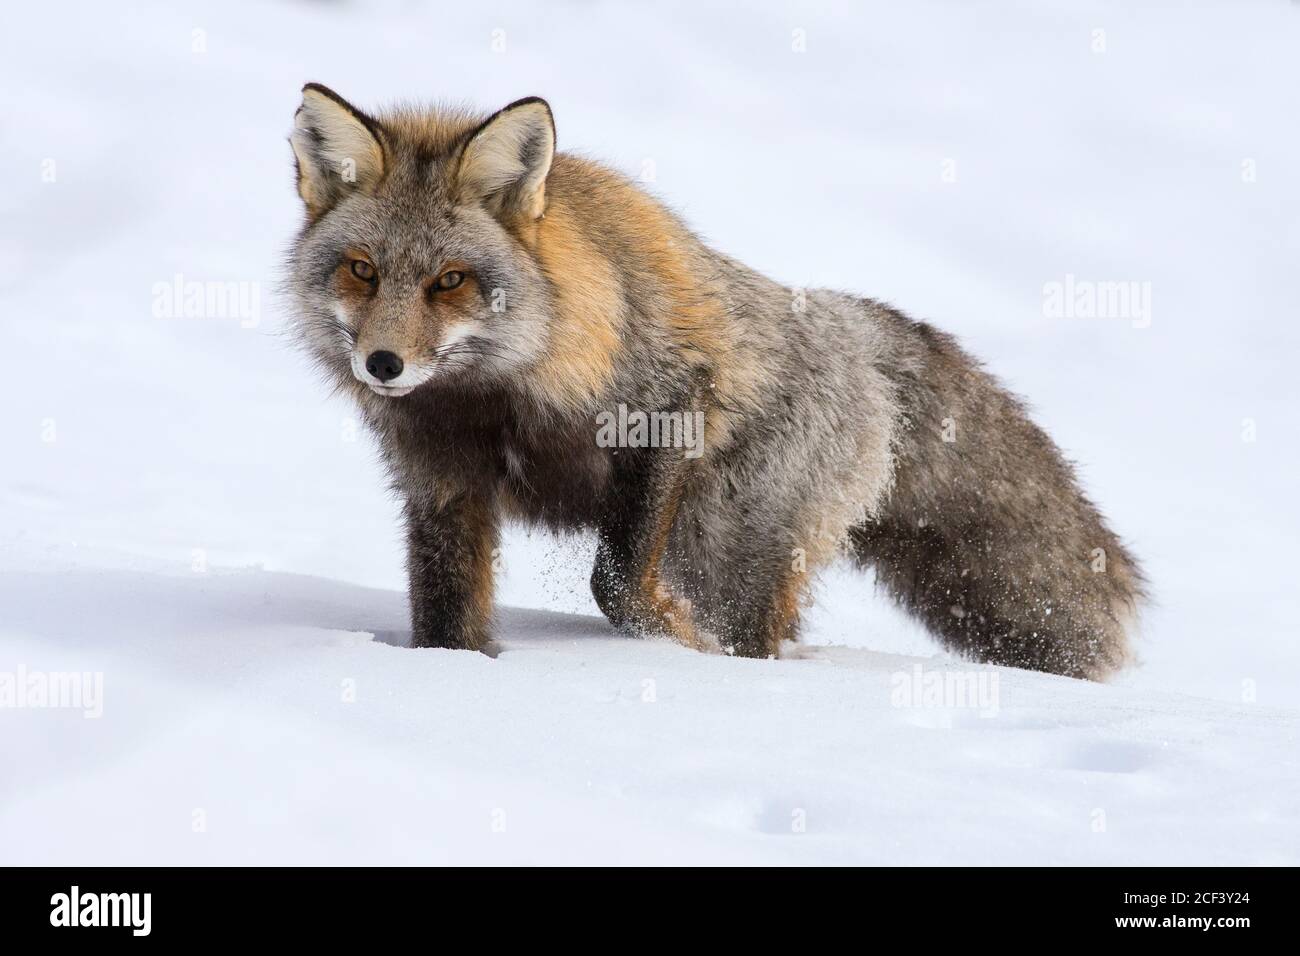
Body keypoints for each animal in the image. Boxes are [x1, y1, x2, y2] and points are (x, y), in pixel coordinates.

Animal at [286, 84, 1145, 680]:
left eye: (451, 281)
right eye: (363, 271)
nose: (384, 364)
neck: (499, 395)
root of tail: (860, 333)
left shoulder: (667, 403)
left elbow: (620, 585)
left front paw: (679, 644)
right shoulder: (442, 481)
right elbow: (446, 622)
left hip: (727, 545)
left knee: (752, 628)